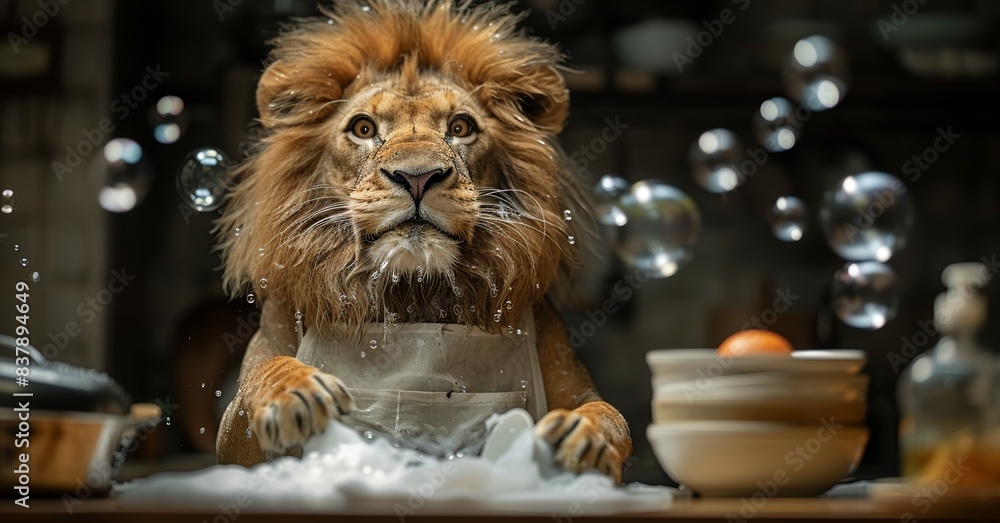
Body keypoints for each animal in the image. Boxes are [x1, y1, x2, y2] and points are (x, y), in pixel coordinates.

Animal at [214, 0, 632, 482]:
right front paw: (294, 393)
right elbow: (262, 374)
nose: (417, 176)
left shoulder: (574, 384)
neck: (414, 290)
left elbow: (611, 415)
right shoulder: (234, 441)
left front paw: (586, 438)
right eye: (363, 128)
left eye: (461, 127)